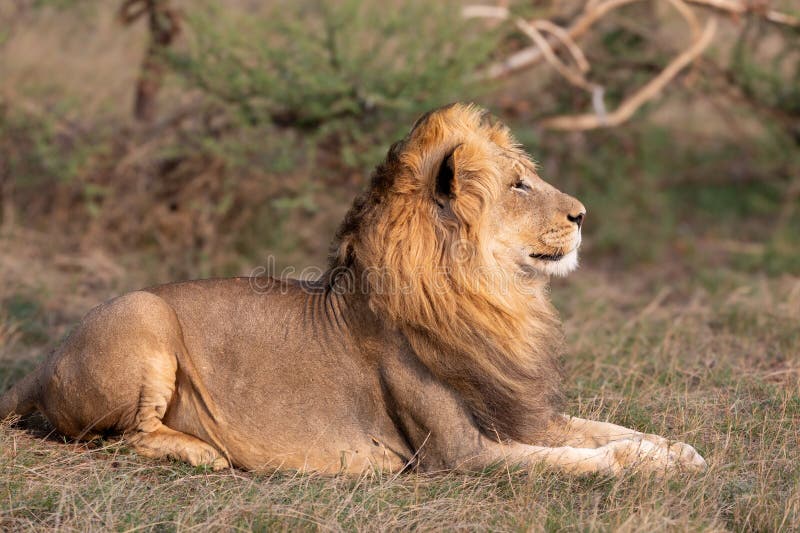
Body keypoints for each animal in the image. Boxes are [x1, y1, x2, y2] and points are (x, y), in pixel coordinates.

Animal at [0, 104, 706, 475]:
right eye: (519, 185)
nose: (584, 214)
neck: (495, 298)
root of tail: (44, 360)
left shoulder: (517, 412)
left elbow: (599, 428)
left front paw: (678, 449)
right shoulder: (461, 453)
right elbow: (588, 458)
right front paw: (649, 464)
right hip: (142, 312)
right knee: (126, 435)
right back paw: (202, 451)